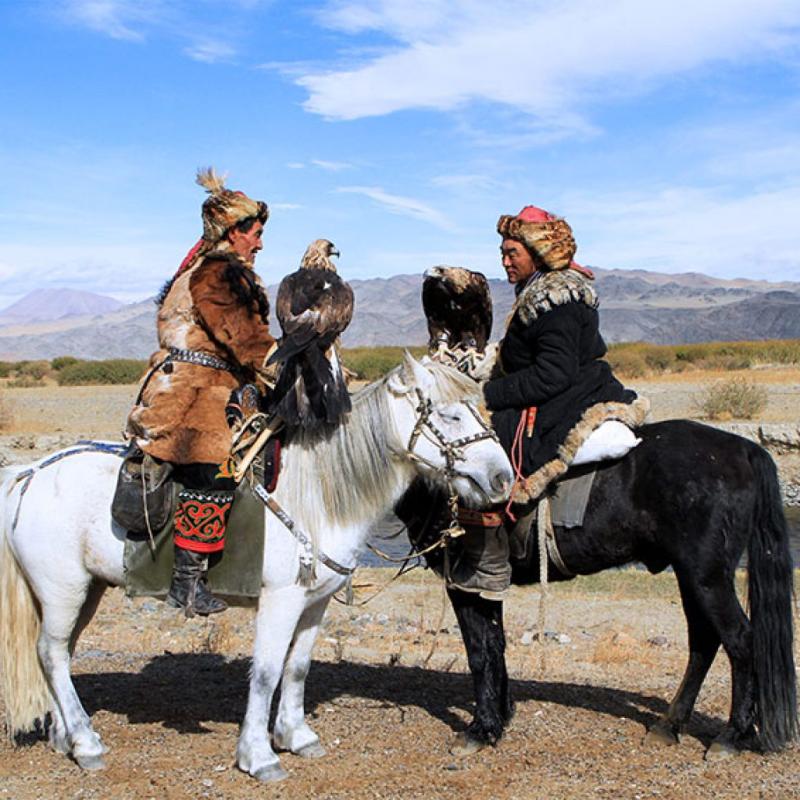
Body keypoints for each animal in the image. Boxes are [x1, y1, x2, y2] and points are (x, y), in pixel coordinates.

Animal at [0, 353, 513, 783]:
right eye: (448, 414)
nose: (502, 478)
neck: (315, 496)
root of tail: (30, 474)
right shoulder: (279, 601)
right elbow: (266, 672)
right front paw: (259, 757)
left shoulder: (314, 603)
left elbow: (298, 668)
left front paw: (297, 737)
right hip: (64, 589)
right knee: (51, 653)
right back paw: (86, 743)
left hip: (85, 592)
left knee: (59, 653)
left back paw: (66, 737)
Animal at [398, 419, 798, 760]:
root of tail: (744, 448)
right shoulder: (486, 584)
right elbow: (496, 644)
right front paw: (501, 715)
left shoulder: (464, 581)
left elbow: (480, 651)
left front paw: (481, 730)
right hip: (692, 576)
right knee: (704, 641)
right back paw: (670, 724)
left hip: (706, 576)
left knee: (740, 641)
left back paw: (732, 735)